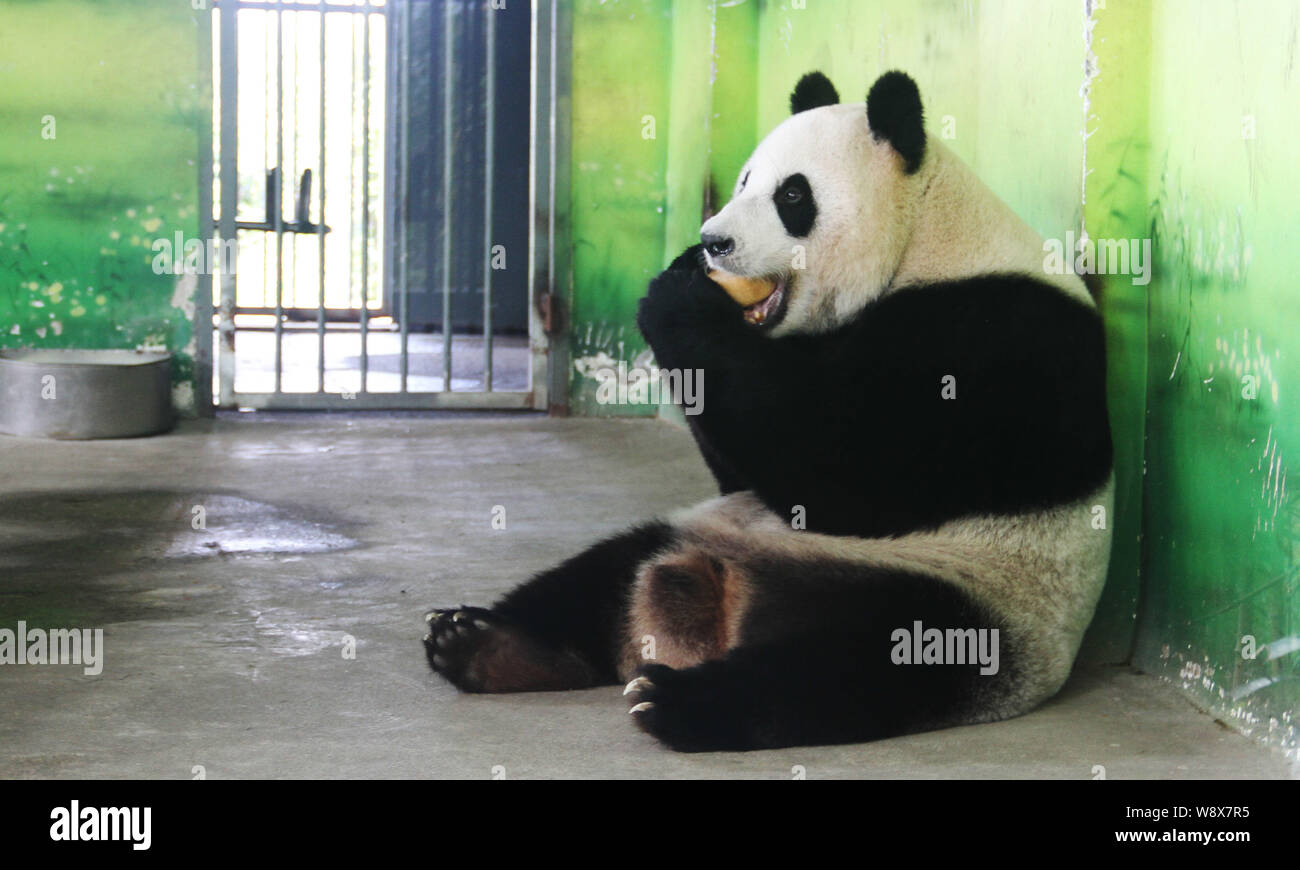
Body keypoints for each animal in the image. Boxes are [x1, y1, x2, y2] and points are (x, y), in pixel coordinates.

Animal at [424, 70, 1113, 752]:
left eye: (792, 195)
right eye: (743, 181)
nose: (714, 242)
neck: (927, 236)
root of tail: (721, 610)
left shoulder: (994, 335)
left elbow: (849, 476)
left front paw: (679, 295)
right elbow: (749, 461)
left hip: (969, 593)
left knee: (860, 660)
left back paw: (678, 702)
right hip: (706, 530)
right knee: (605, 572)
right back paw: (480, 644)